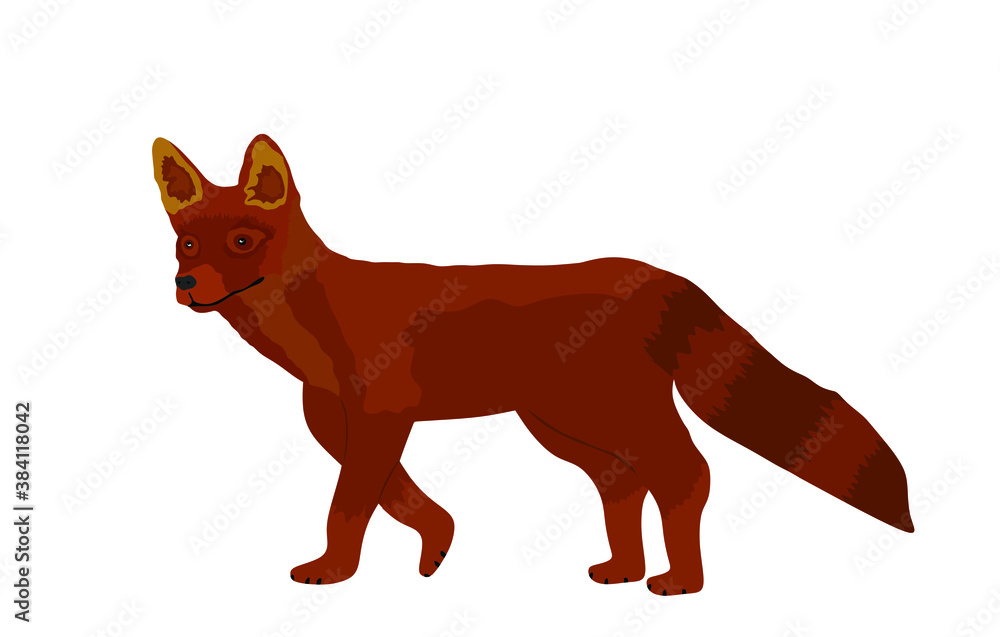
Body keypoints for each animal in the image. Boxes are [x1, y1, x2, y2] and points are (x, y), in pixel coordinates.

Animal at [152, 134, 913, 595]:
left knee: (685, 473)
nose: (185, 285)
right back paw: (624, 569)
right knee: (623, 483)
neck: (320, 320)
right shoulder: (345, 426)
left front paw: (335, 571)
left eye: (243, 240)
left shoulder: (380, 417)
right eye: (186, 243)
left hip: (602, 413)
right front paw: (437, 545)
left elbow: (349, 507)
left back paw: (681, 581)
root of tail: (659, 277)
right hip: (561, 426)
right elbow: (395, 496)